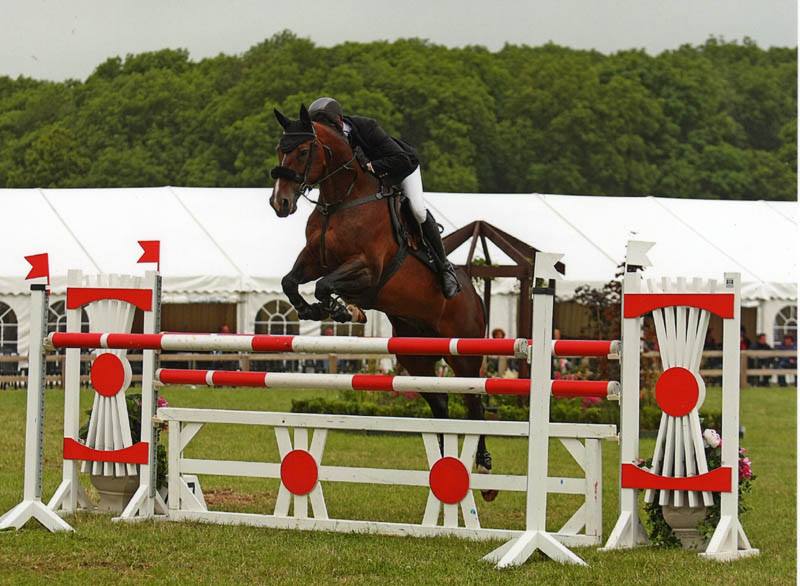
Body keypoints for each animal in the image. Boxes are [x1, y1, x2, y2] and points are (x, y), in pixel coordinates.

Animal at [269, 105, 495, 499]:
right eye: (280, 149)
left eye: (302, 150)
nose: (280, 203)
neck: (341, 199)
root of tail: (475, 294)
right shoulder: (314, 258)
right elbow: (291, 281)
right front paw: (315, 309)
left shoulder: (367, 270)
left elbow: (325, 285)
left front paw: (340, 308)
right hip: (414, 354)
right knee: (440, 401)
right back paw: (443, 459)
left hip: (463, 353)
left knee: (474, 402)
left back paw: (481, 467)